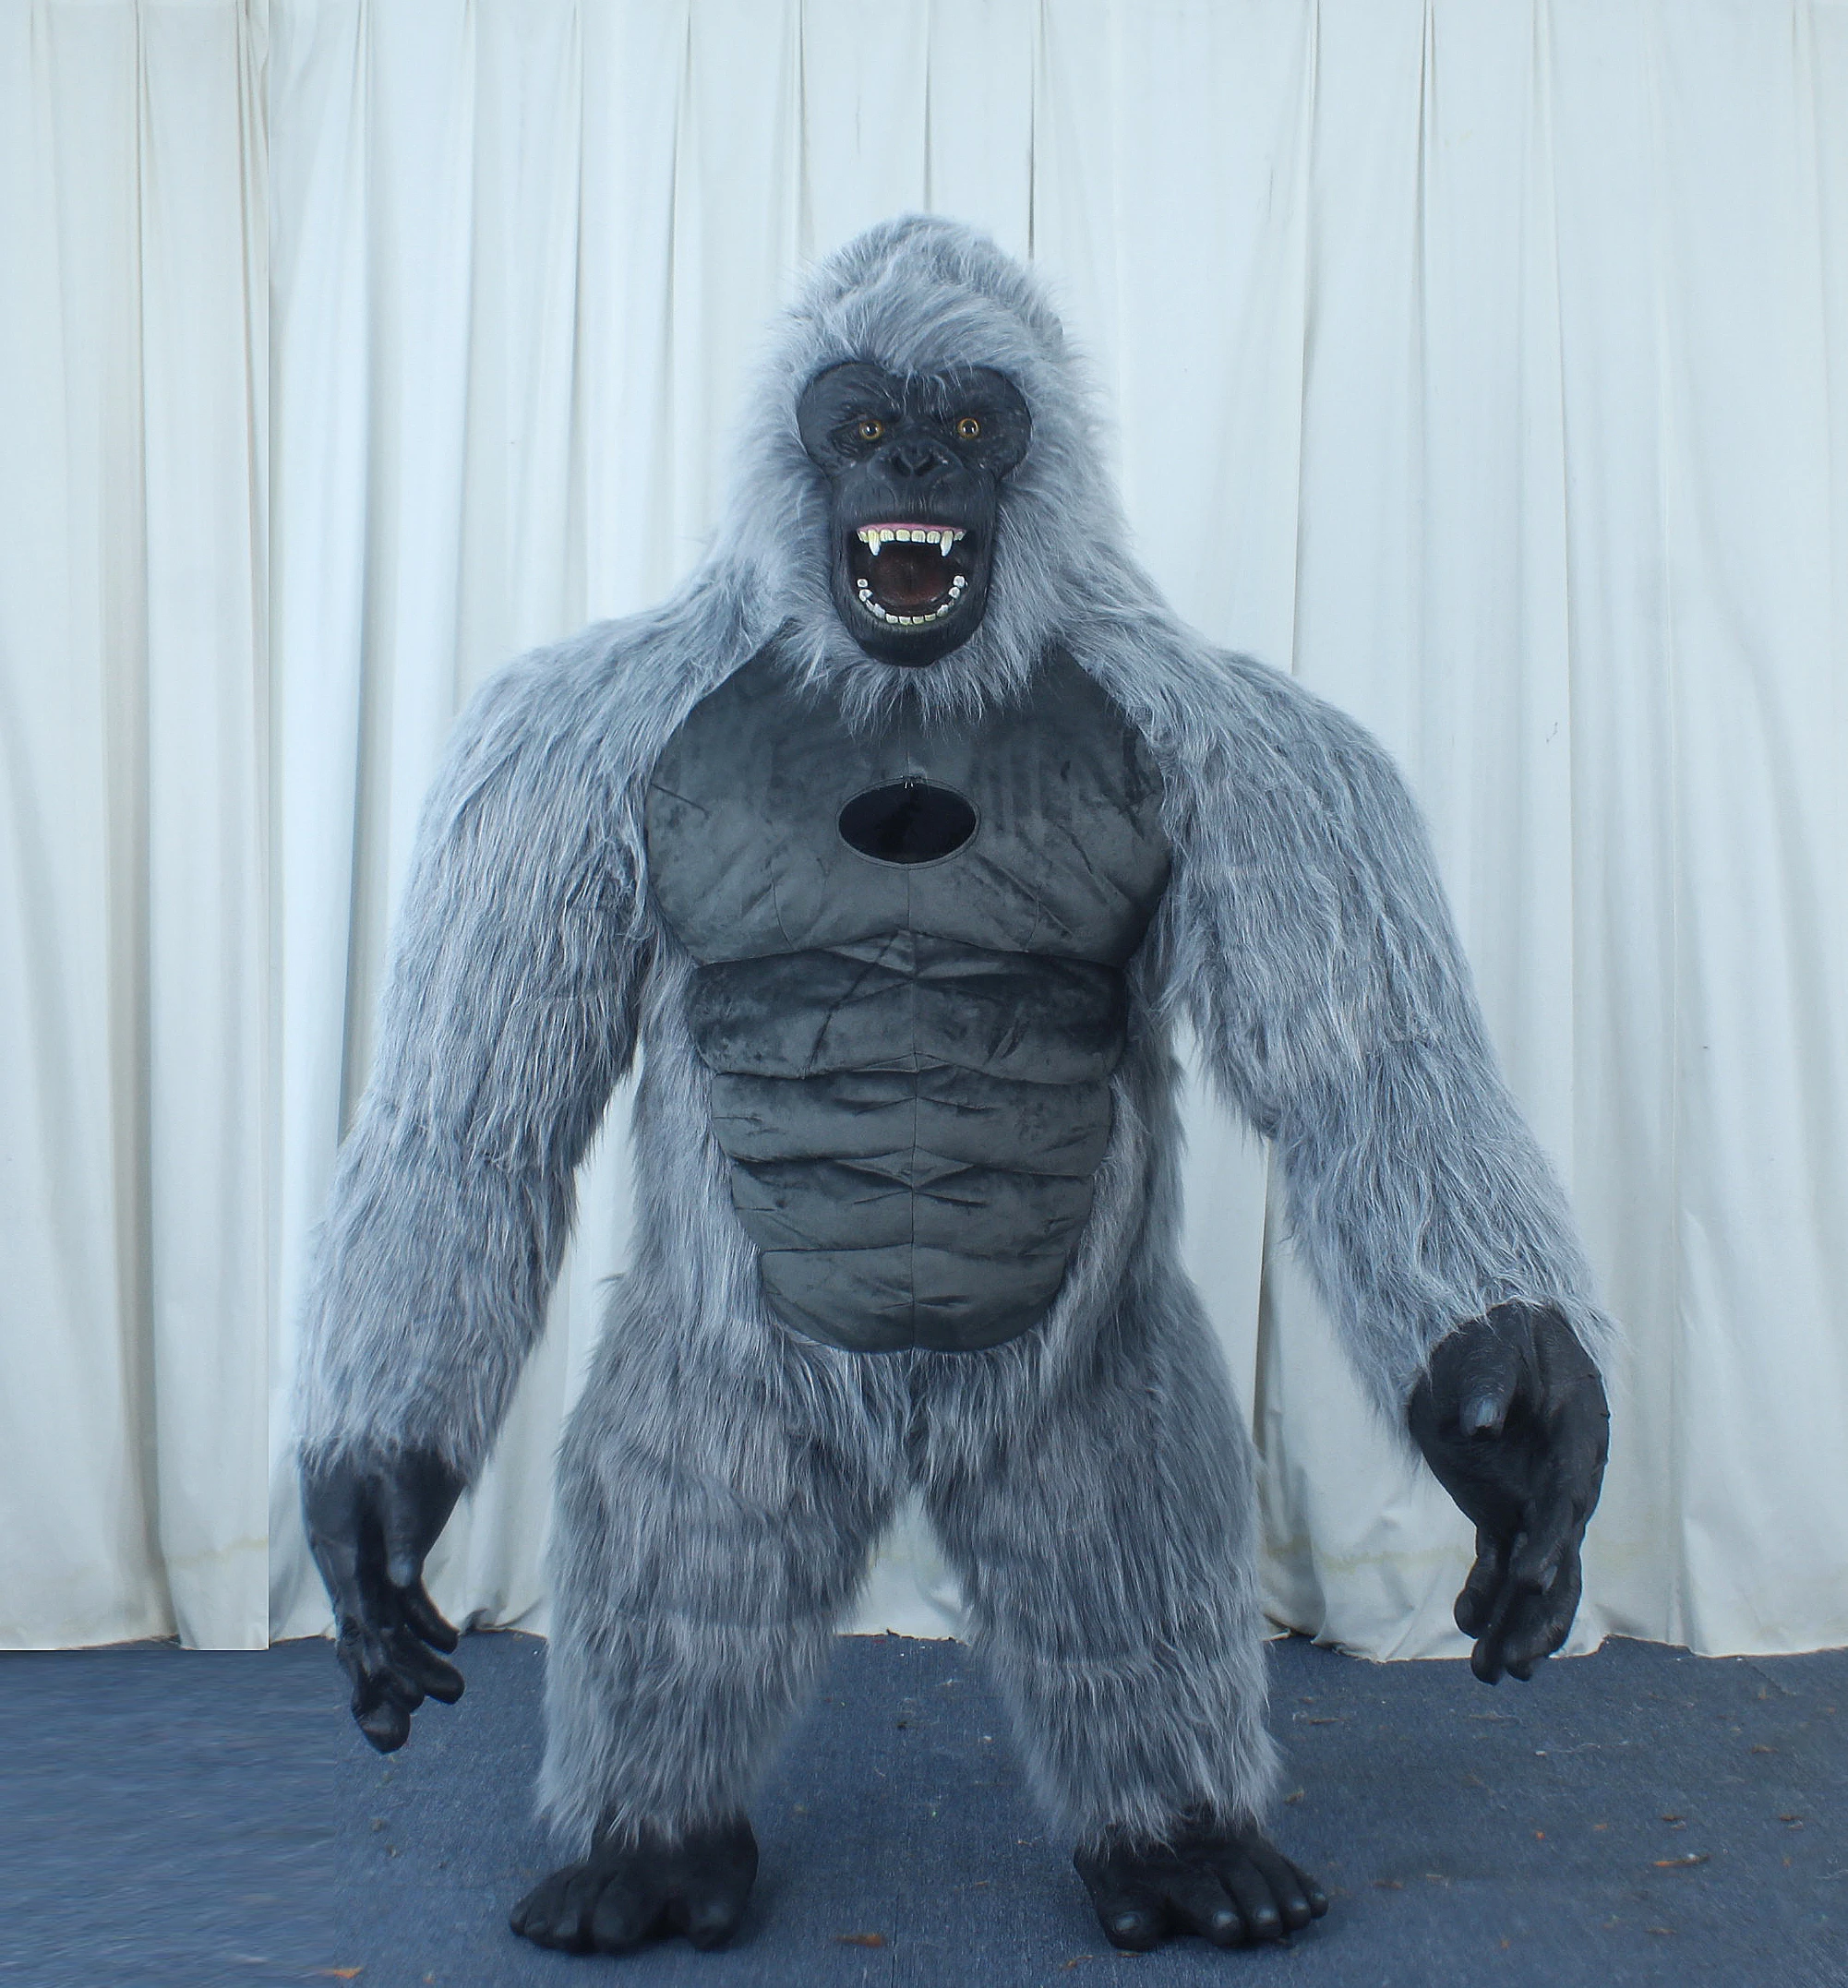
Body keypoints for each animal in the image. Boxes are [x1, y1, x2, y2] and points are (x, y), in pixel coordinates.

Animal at [298, 216, 1610, 1958]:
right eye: (860, 418)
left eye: (975, 420)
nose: (916, 458)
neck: (904, 693)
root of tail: (909, 1429)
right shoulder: (550, 758)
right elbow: (460, 1121)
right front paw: (373, 1491)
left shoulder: (1266, 763)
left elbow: (1373, 1078)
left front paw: (1516, 1400)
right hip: (734, 1378)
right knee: (687, 1545)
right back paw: (649, 1843)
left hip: (1079, 1390)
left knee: (1118, 1555)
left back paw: (1179, 1839)